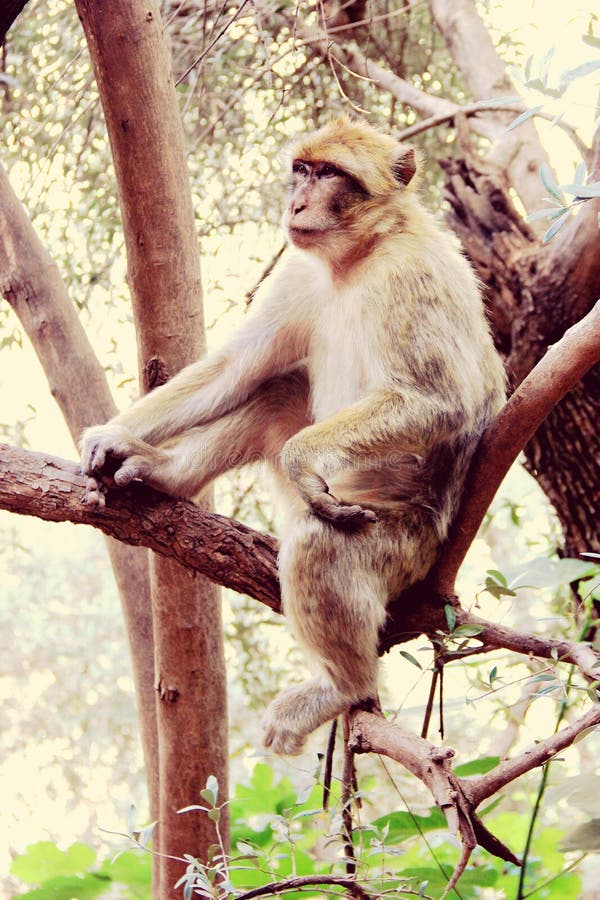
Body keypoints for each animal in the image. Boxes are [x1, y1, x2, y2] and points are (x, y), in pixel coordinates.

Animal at [80, 116, 506, 756]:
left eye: (329, 173)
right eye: (302, 170)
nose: (297, 202)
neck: (354, 258)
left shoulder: (412, 276)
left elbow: (436, 399)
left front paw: (302, 460)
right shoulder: (298, 272)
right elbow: (237, 368)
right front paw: (117, 433)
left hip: (403, 542)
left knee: (320, 539)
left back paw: (343, 685)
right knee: (277, 392)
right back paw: (164, 473)